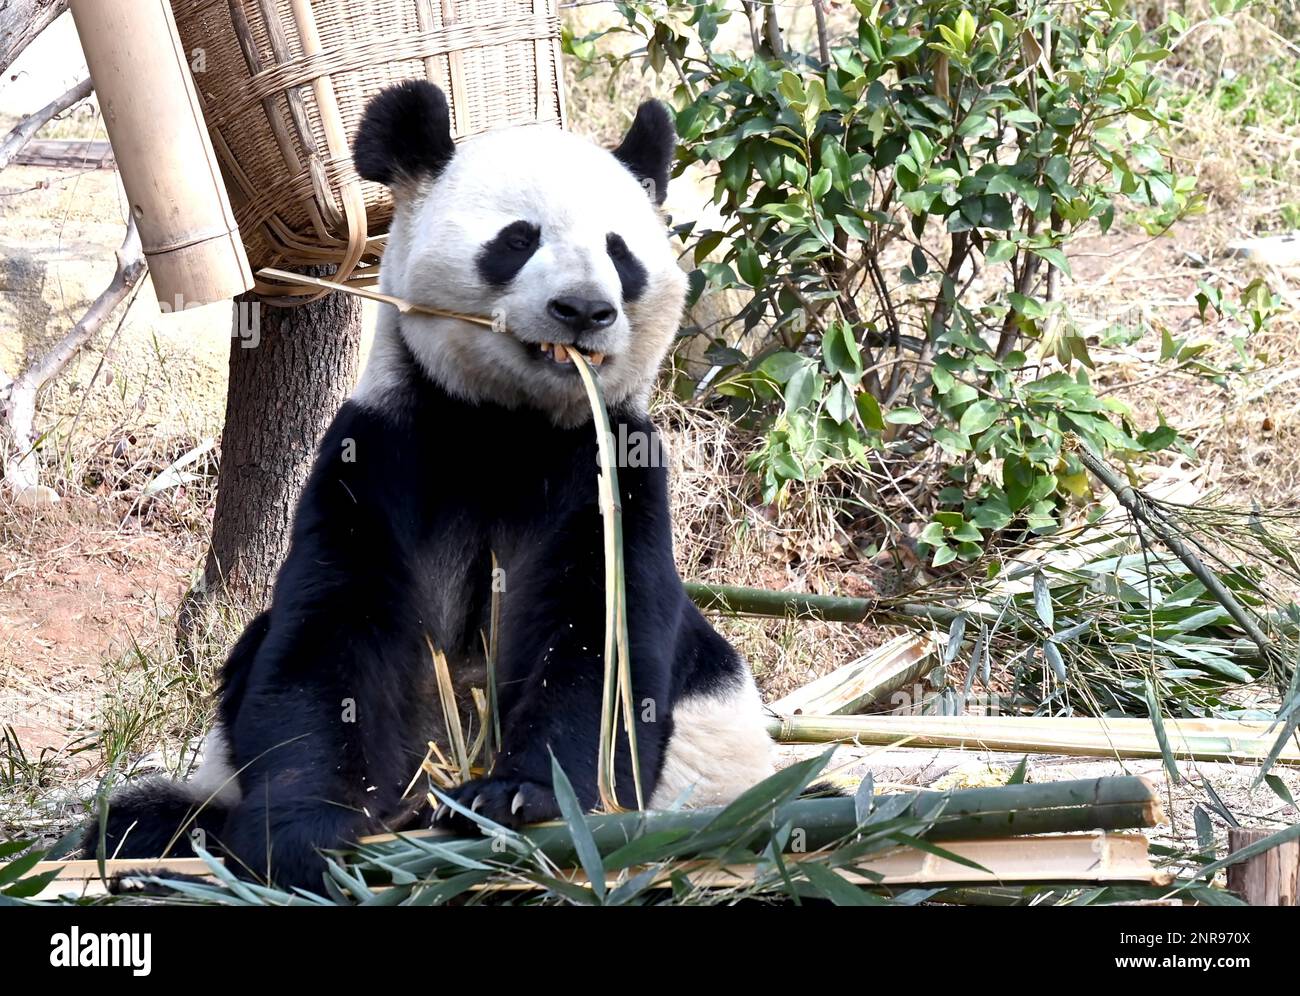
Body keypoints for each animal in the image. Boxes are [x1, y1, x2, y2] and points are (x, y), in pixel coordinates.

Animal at [81, 81, 775, 890]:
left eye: (620, 252)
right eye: (518, 240)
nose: (584, 310)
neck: (506, 425)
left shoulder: (613, 471)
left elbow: (601, 641)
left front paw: (518, 797)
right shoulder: (382, 454)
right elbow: (330, 641)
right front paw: (304, 834)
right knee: (154, 809)